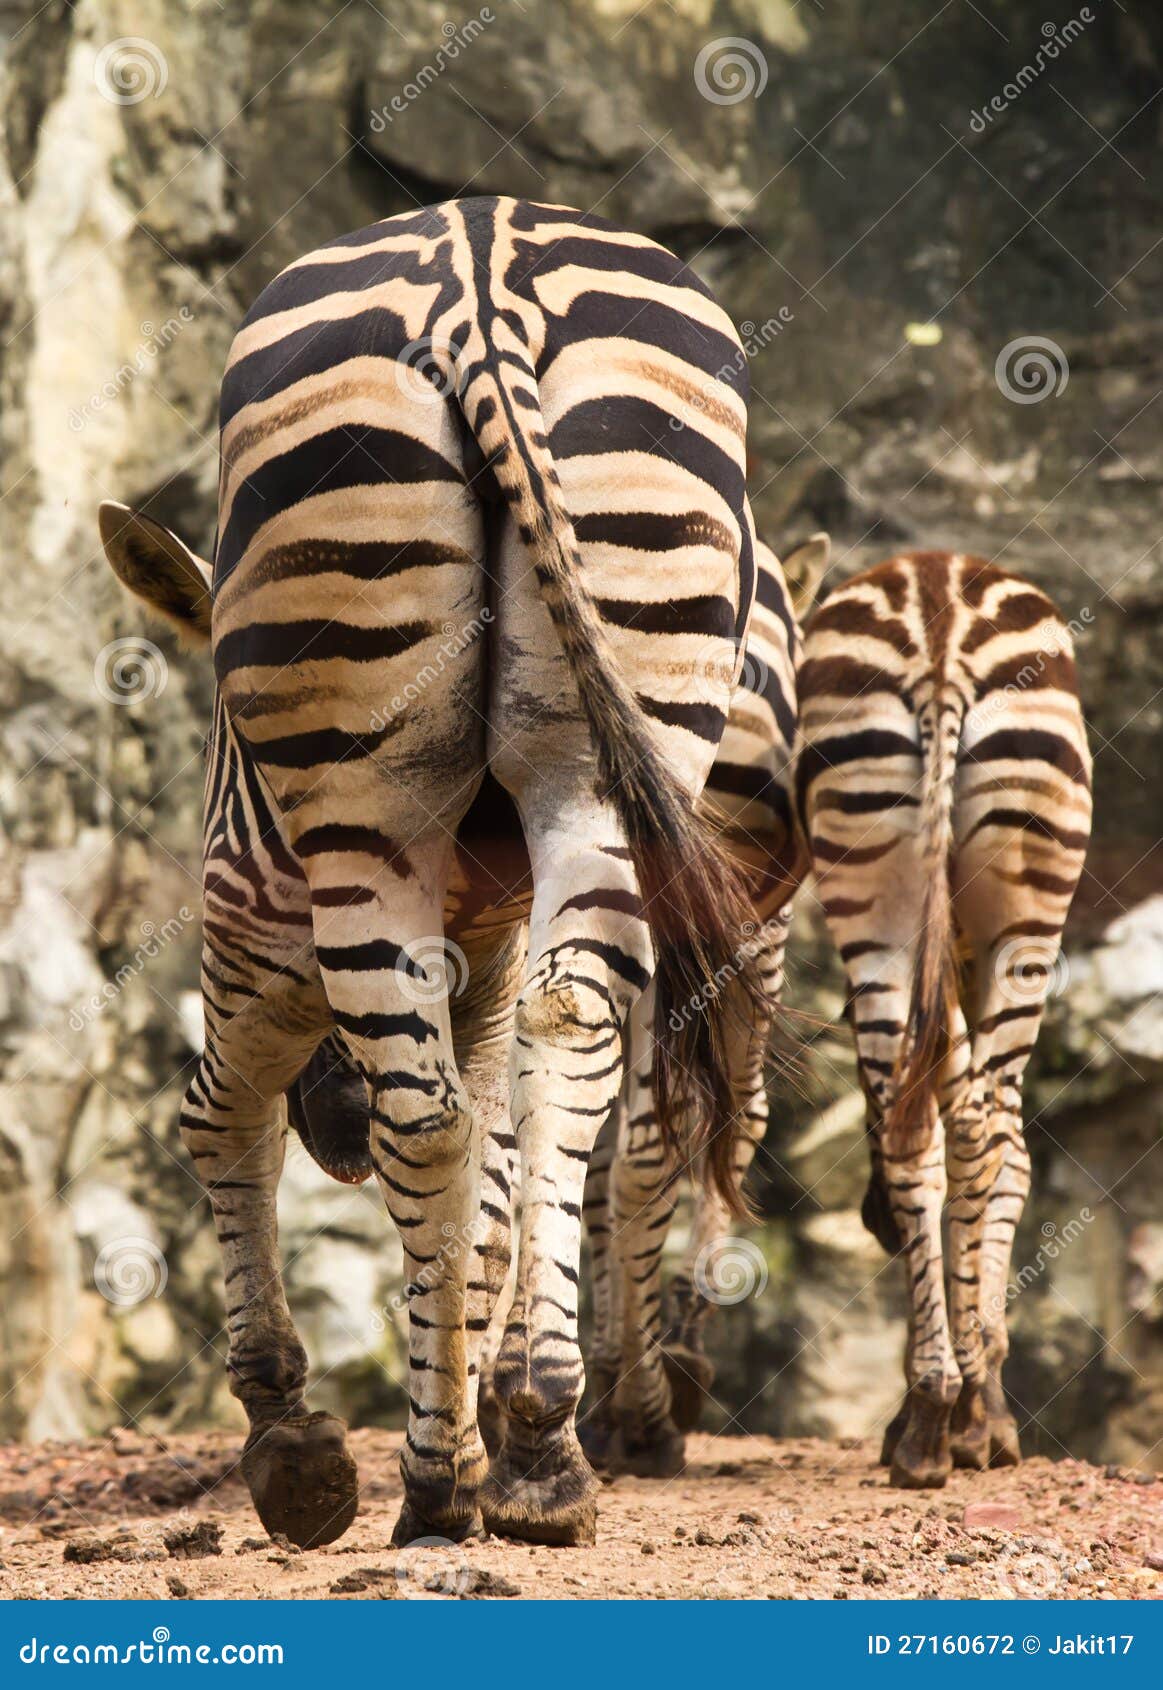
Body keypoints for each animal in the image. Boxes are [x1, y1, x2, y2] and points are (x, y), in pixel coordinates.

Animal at [96, 195, 770, 1550]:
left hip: (364, 814)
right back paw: (541, 1451)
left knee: (423, 1116)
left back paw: (432, 1486)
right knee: (562, 1052)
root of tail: (479, 261)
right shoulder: (493, 943)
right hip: (615, 754)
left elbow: (218, 1114)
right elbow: (503, 1168)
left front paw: (292, 1436)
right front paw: (486, 1409)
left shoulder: (256, 928)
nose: (334, 1135)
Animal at [795, 550, 1092, 1488]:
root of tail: (941, 635)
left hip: (880, 891)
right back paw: (944, 1419)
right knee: (975, 1128)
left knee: (924, 1128)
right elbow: (1012, 1160)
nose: (870, 1226)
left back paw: (930, 1417)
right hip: (1022, 915)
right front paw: (982, 1403)